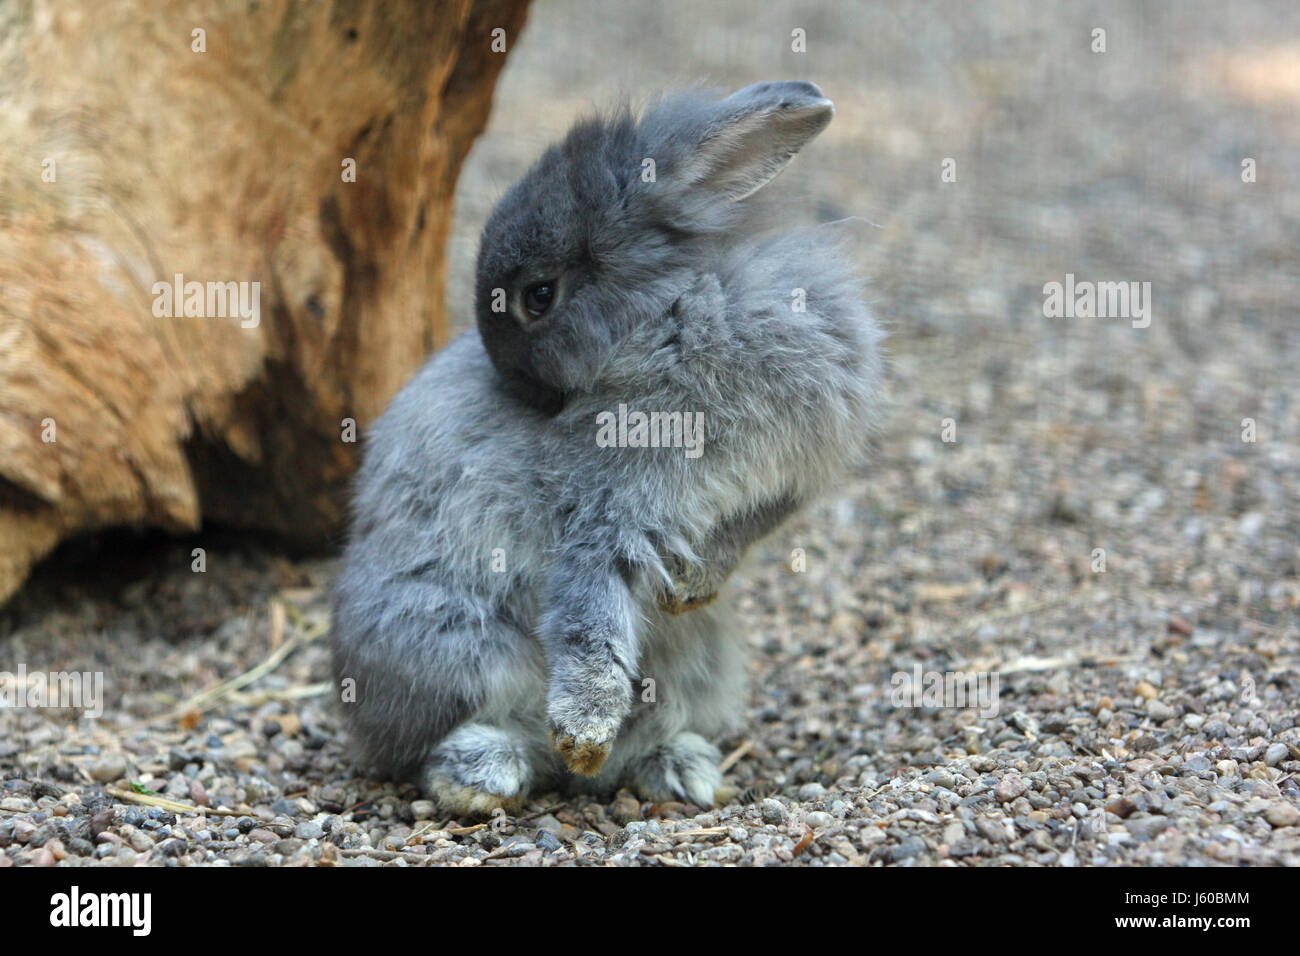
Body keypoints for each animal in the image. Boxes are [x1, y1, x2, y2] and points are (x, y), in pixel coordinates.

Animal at [331, 81, 884, 815]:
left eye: (539, 295)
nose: (516, 387)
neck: (675, 317)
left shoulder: (774, 490)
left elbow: (738, 536)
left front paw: (690, 588)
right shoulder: (602, 517)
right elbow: (588, 625)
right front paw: (585, 731)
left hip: (693, 670)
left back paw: (681, 770)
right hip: (457, 648)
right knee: (437, 747)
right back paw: (495, 774)